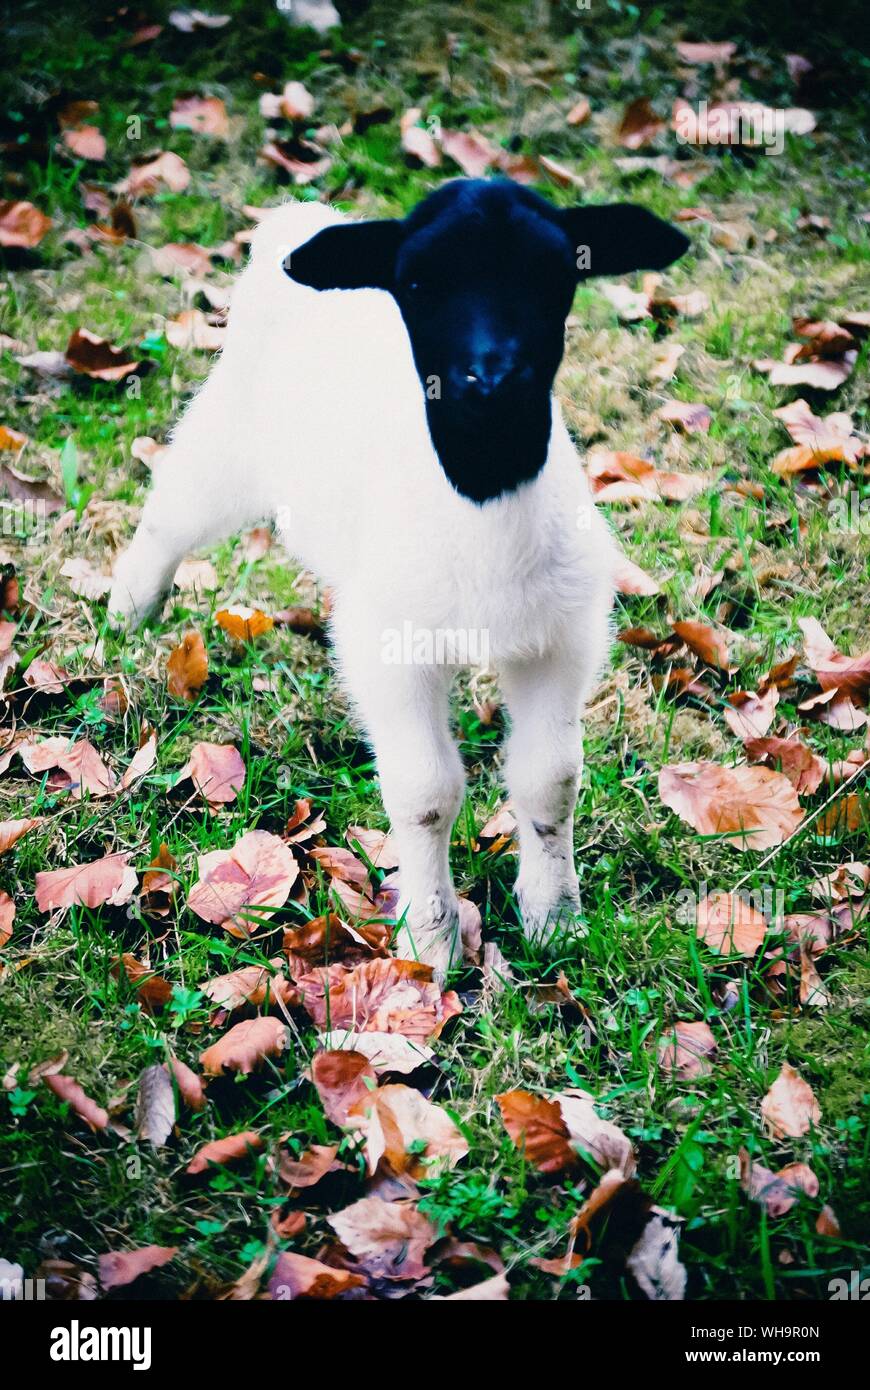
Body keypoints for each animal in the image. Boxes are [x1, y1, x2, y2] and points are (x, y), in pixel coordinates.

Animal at [109, 178, 689, 978]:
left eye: (556, 274)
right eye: (416, 283)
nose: (492, 378)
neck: (482, 507)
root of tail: (302, 220)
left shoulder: (560, 642)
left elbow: (551, 780)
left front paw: (554, 919)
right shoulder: (391, 651)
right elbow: (426, 793)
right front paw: (431, 944)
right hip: (225, 441)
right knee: (170, 513)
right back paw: (128, 611)